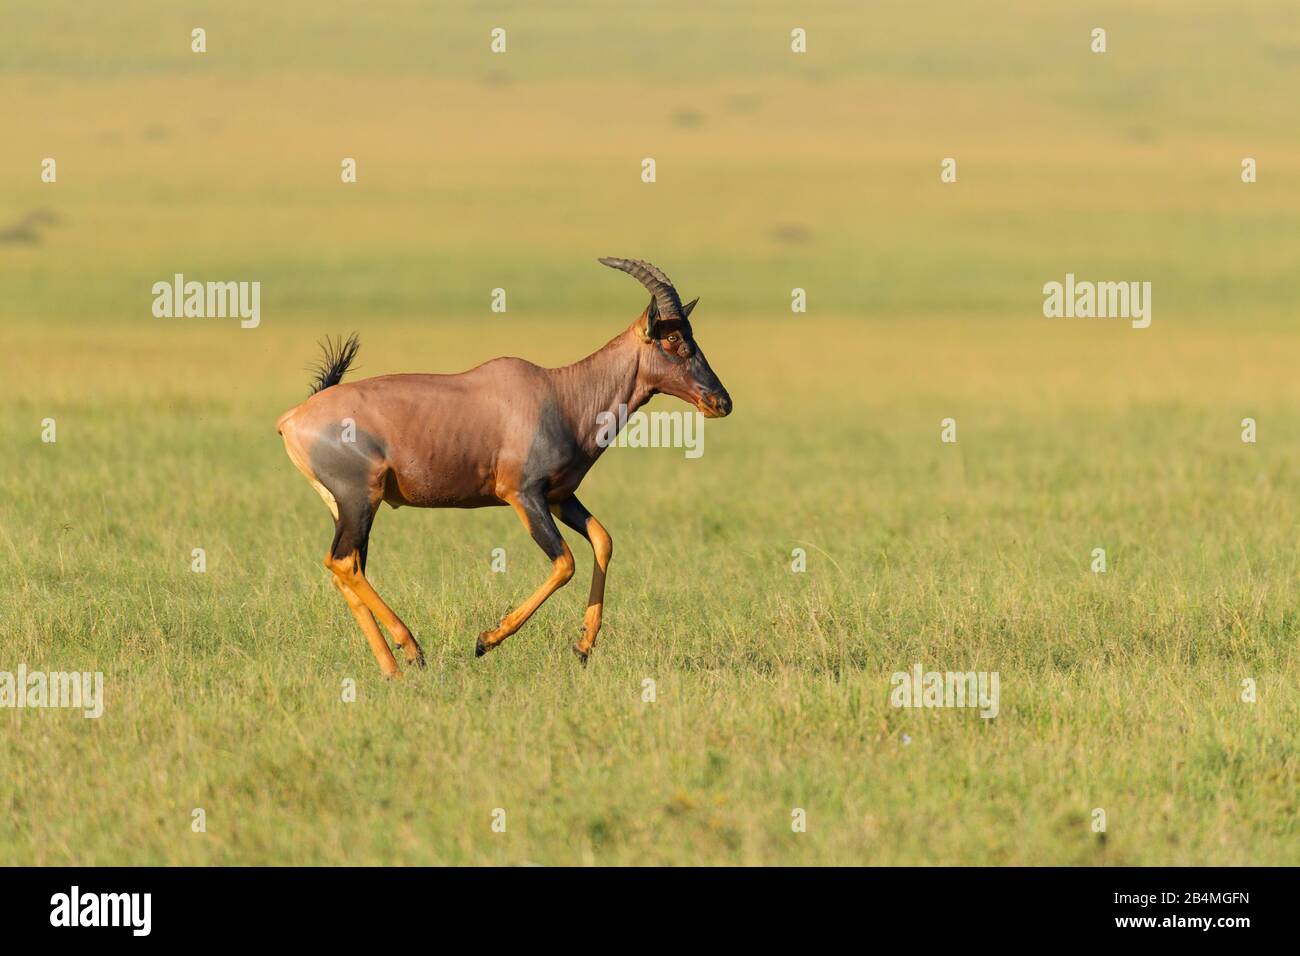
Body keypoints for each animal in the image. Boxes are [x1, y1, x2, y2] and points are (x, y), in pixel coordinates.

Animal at [276, 258, 733, 676]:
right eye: (672, 338)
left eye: (690, 334)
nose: (720, 401)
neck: (560, 393)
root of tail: (294, 416)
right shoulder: (523, 495)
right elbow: (564, 562)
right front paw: (486, 640)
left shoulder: (560, 496)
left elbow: (602, 541)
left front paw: (583, 646)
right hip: (360, 499)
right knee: (343, 563)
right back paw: (410, 651)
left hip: (344, 507)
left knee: (346, 566)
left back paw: (392, 666)